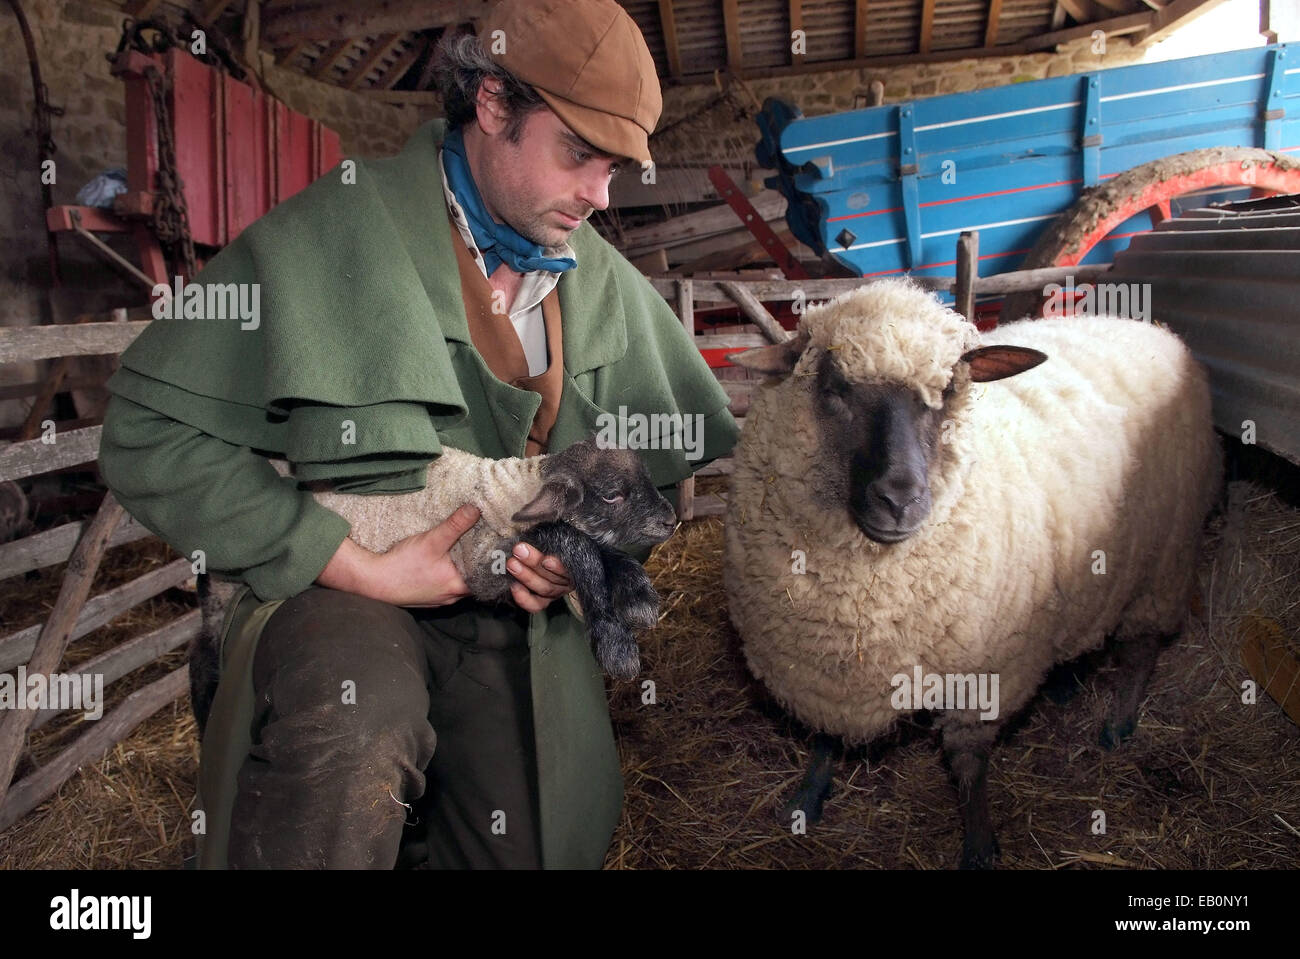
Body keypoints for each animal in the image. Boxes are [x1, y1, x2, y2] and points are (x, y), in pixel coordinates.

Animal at [193, 436, 676, 732]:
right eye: (613, 494)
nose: (671, 519)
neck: (507, 490)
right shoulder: (482, 561)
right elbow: (569, 537)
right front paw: (615, 640)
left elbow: (598, 545)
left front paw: (635, 592)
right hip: (221, 594)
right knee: (203, 651)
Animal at [723, 278, 1220, 868]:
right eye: (835, 387)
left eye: (947, 391)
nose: (901, 499)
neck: (869, 592)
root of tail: (1148, 327)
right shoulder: (826, 671)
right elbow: (827, 735)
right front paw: (809, 795)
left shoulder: (984, 672)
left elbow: (968, 764)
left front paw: (980, 843)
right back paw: (1066, 683)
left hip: (1165, 559)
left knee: (1142, 648)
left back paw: (1118, 723)